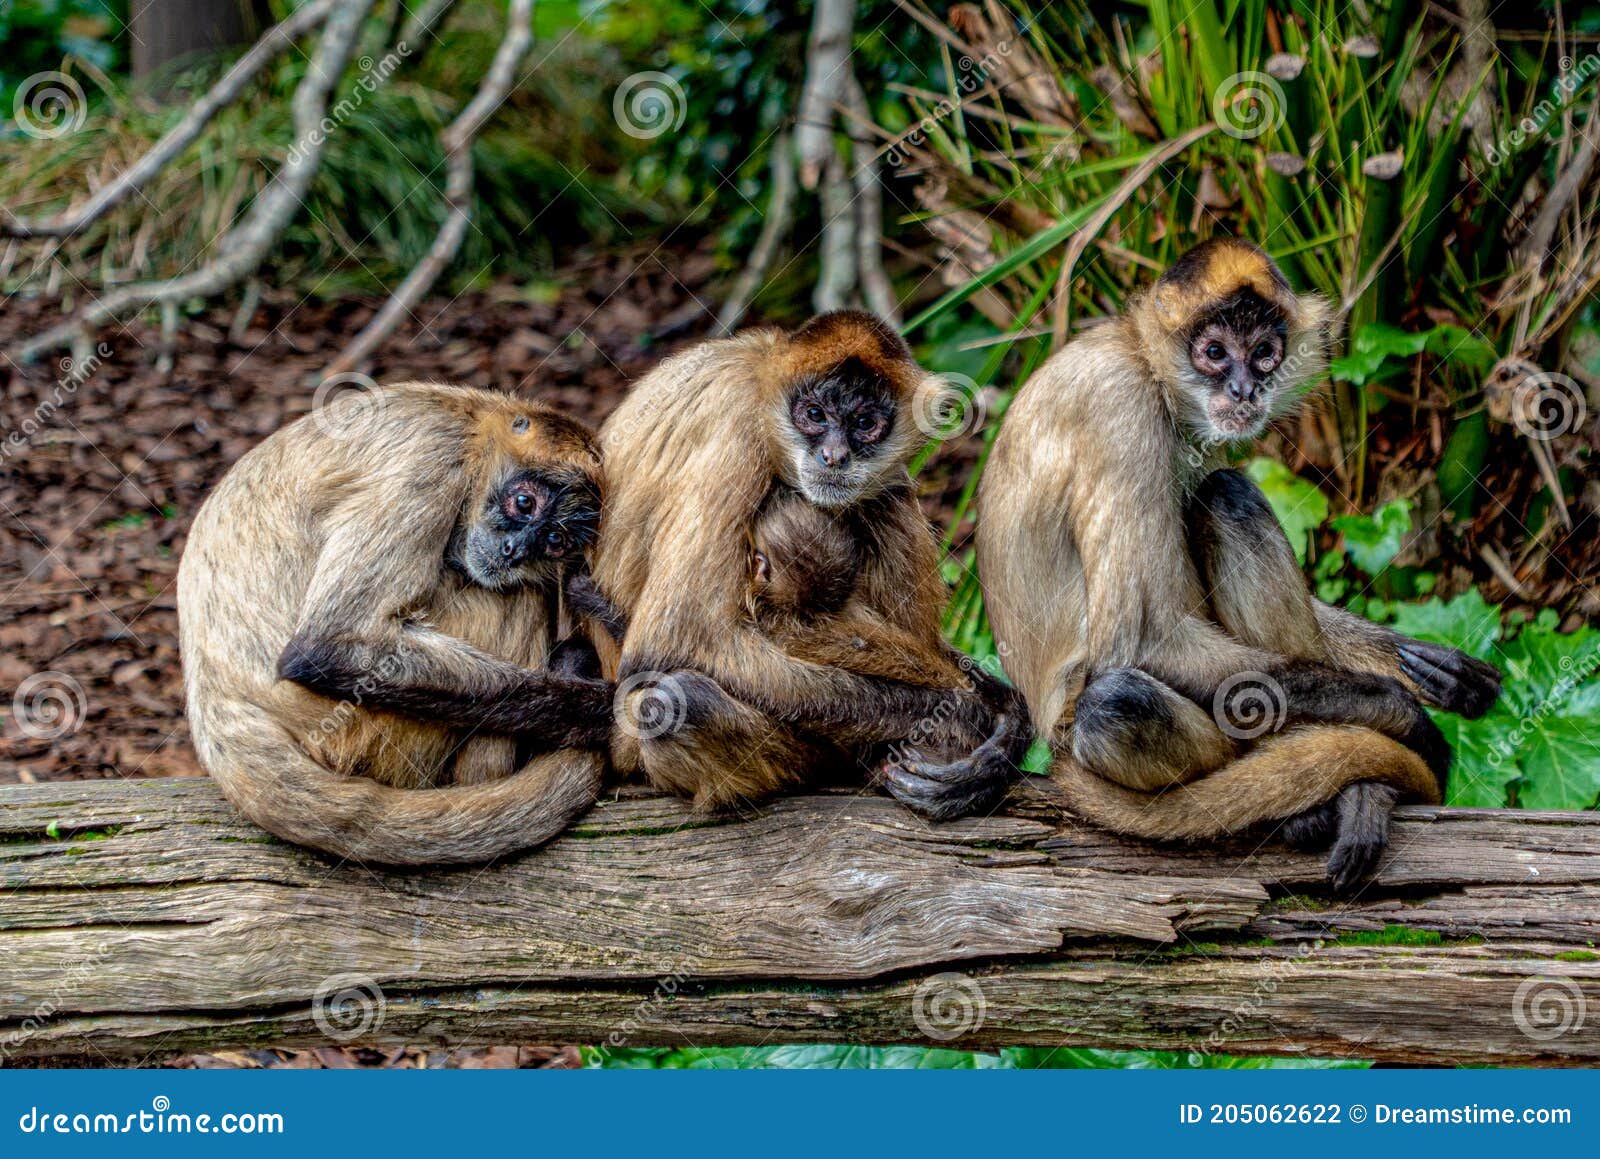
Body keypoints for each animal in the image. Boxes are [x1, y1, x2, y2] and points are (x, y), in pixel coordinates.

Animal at [177, 382, 615, 866]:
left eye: (554, 541)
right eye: (524, 502)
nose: (514, 550)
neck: (471, 418)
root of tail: (214, 702)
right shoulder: (435, 458)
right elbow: (327, 647)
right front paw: (606, 713)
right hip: (359, 731)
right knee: (516, 595)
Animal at [577, 311, 1027, 819]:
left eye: (864, 423)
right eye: (814, 415)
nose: (834, 456)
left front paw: (1005, 725)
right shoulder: (738, 423)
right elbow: (674, 642)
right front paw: (964, 715)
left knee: (884, 491)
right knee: (669, 702)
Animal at [976, 238, 1501, 890]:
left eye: (1264, 354)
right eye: (1214, 353)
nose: (1245, 390)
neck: (1136, 354)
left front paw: (1436, 669)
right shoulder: (1121, 406)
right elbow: (1143, 641)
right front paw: (1406, 716)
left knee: (1223, 495)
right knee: (1116, 701)